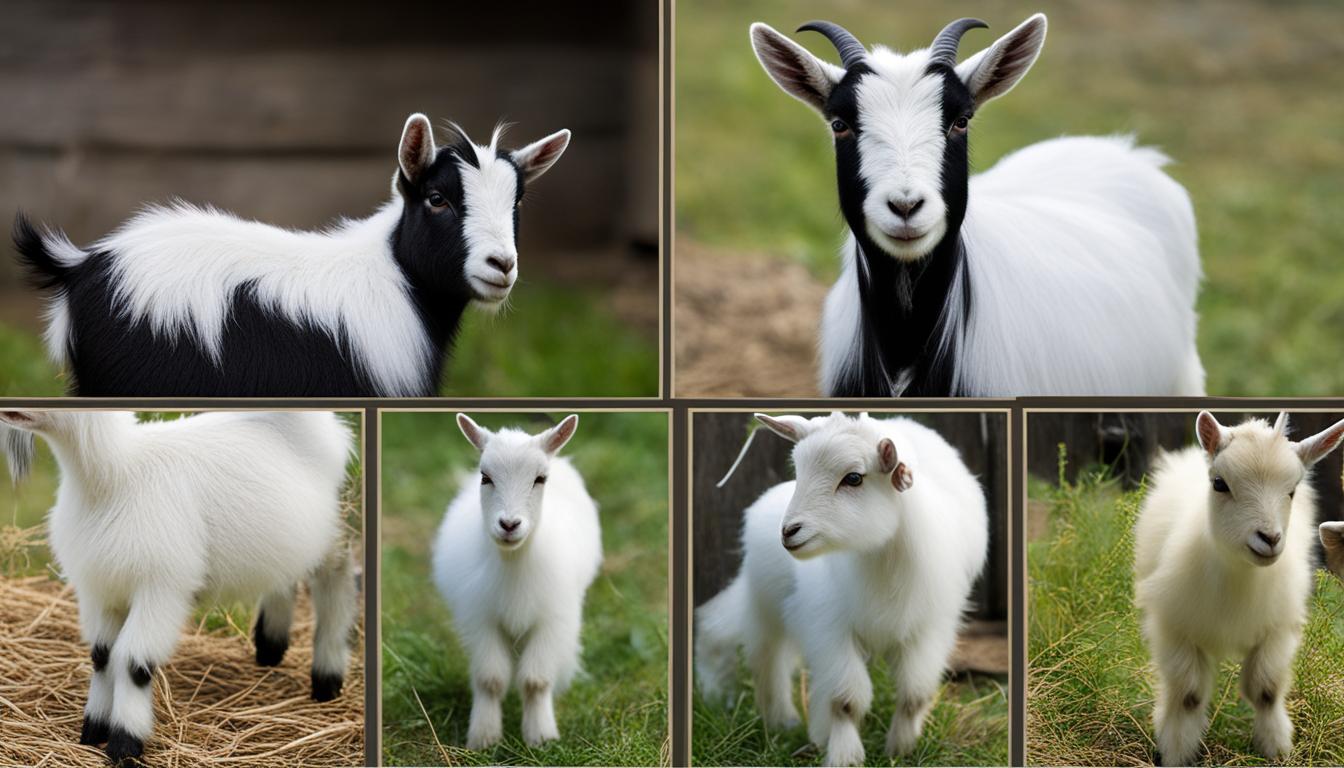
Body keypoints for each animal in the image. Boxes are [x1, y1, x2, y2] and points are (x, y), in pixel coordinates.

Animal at [0, 409, 358, 765]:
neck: (114, 475)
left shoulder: (161, 586)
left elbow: (133, 661)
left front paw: (125, 744)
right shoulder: (101, 588)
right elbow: (102, 655)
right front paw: (93, 731)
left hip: (328, 533)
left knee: (337, 578)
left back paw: (327, 678)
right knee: (284, 576)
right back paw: (270, 646)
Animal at [432, 414, 602, 749]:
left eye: (540, 479)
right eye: (485, 477)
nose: (509, 524)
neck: (513, 564)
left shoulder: (552, 620)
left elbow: (536, 680)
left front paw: (541, 737)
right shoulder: (480, 619)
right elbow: (491, 679)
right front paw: (484, 738)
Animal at [696, 412, 987, 766]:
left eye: (854, 478)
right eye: (799, 471)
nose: (789, 531)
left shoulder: (928, 628)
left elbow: (914, 694)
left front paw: (901, 748)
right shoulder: (830, 626)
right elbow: (846, 699)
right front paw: (846, 755)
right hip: (764, 605)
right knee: (761, 654)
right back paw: (774, 718)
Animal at [1134, 411, 1344, 765]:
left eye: (1292, 491)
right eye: (1220, 484)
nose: (1269, 538)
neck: (1240, 578)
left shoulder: (1277, 630)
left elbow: (1266, 691)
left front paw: (1276, 749)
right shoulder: (1174, 628)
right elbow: (1188, 695)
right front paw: (1176, 751)